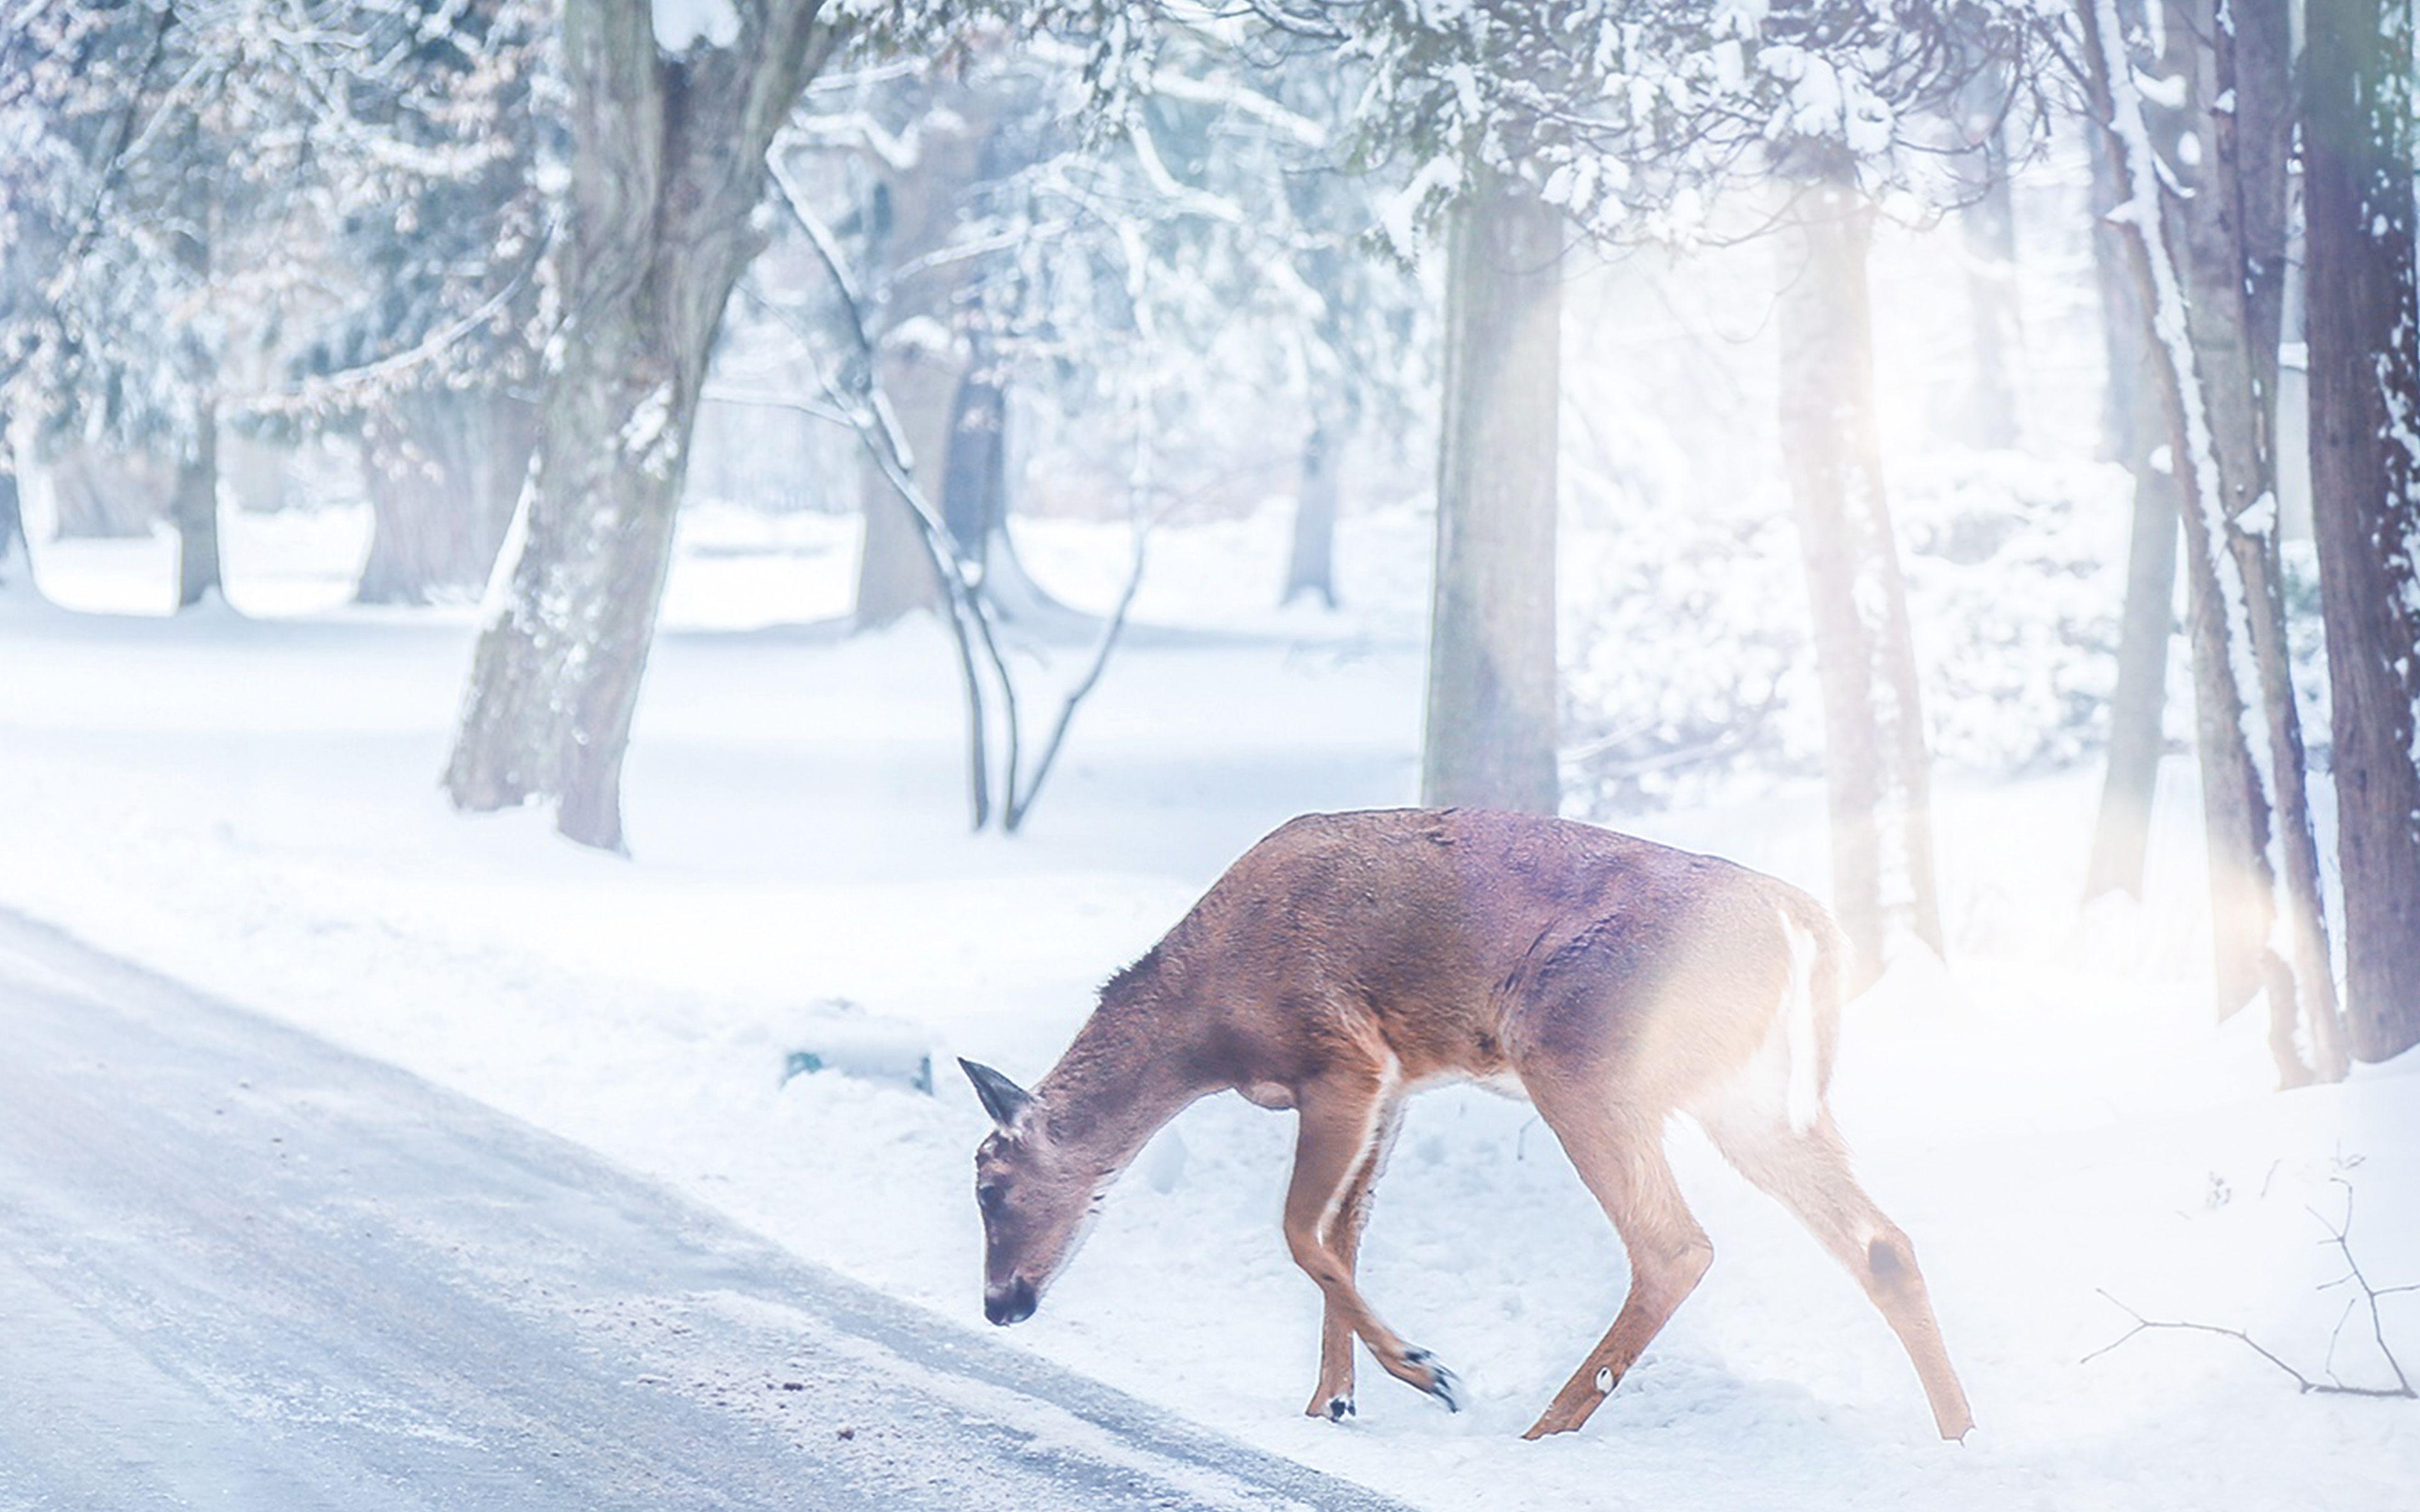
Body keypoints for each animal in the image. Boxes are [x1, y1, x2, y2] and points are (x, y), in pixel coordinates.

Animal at [958, 807, 1973, 1442]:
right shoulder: (1398, 1084)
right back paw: (1960, 1434)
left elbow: (1299, 1231)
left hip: (1583, 1055)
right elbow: (1344, 1234)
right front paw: (1331, 1403)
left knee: (1674, 1244)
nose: (1000, 1305)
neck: (1205, 1023)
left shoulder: (1344, 1054)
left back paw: (1542, 1430)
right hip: (1751, 1098)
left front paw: (1425, 1370)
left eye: (989, 1185)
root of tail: (1801, 924)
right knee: (1880, 1243)